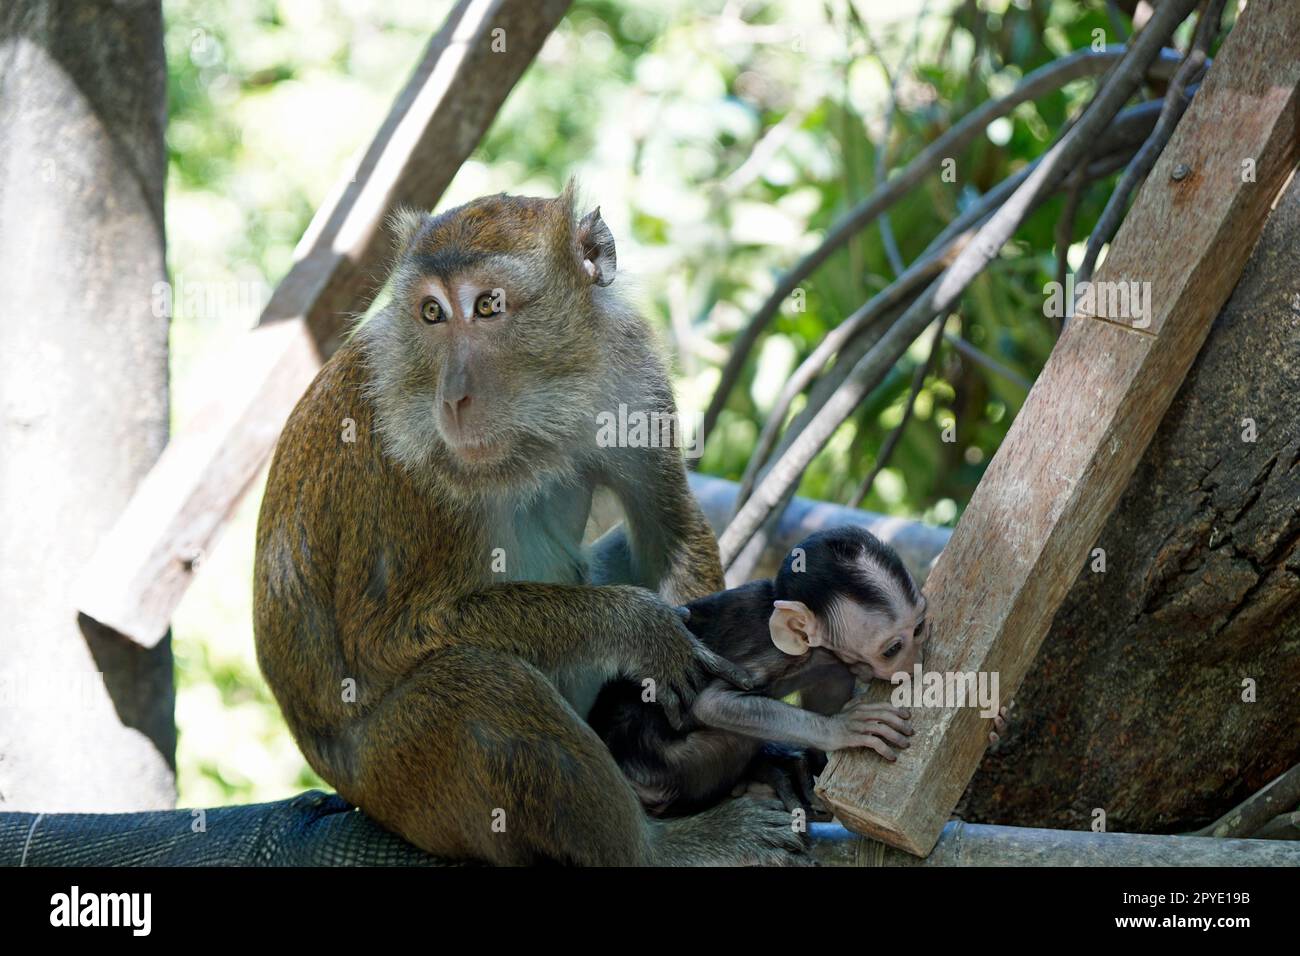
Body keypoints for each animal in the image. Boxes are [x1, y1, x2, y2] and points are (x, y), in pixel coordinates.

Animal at [253, 183, 810, 866]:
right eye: (432, 313)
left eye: (488, 305)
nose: (452, 398)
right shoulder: (399, 452)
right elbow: (382, 638)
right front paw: (640, 629)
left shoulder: (631, 373)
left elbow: (670, 533)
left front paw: (726, 746)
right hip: (397, 781)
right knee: (480, 686)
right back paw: (661, 849)